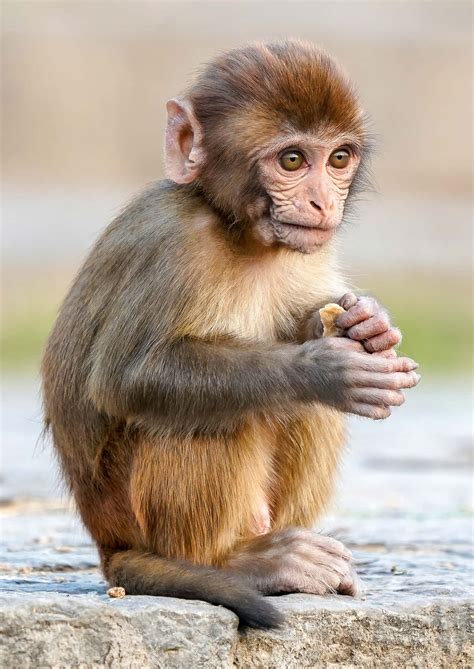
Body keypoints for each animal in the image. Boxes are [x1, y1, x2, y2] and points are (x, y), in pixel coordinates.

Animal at [42, 40, 420, 629]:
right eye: (292, 161)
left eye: (338, 159)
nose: (322, 203)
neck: (237, 229)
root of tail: (109, 548)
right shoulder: (173, 244)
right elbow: (129, 380)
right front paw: (324, 369)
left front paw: (368, 323)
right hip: (133, 516)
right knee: (210, 414)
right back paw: (236, 563)